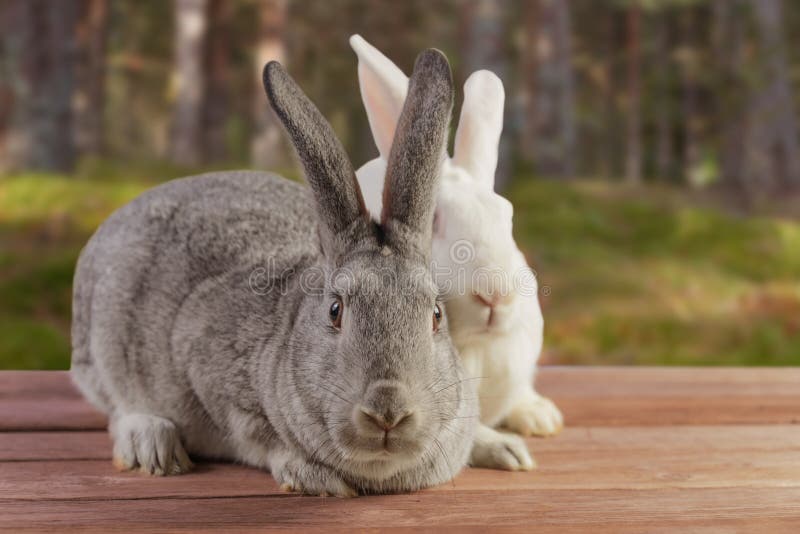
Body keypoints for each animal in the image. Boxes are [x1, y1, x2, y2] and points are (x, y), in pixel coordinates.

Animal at [70, 50, 481, 496]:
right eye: (335, 311)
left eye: (436, 315)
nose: (388, 412)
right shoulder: (213, 377)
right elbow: (261, 438)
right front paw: (314, 477)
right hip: (105, 343)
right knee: (116, 407)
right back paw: (151, 443)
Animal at [349, 35, 563, 472]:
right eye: (432, 221)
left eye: (507, 215)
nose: (495, 295)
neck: (476, 344)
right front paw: (509, 450)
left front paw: (541, 417)